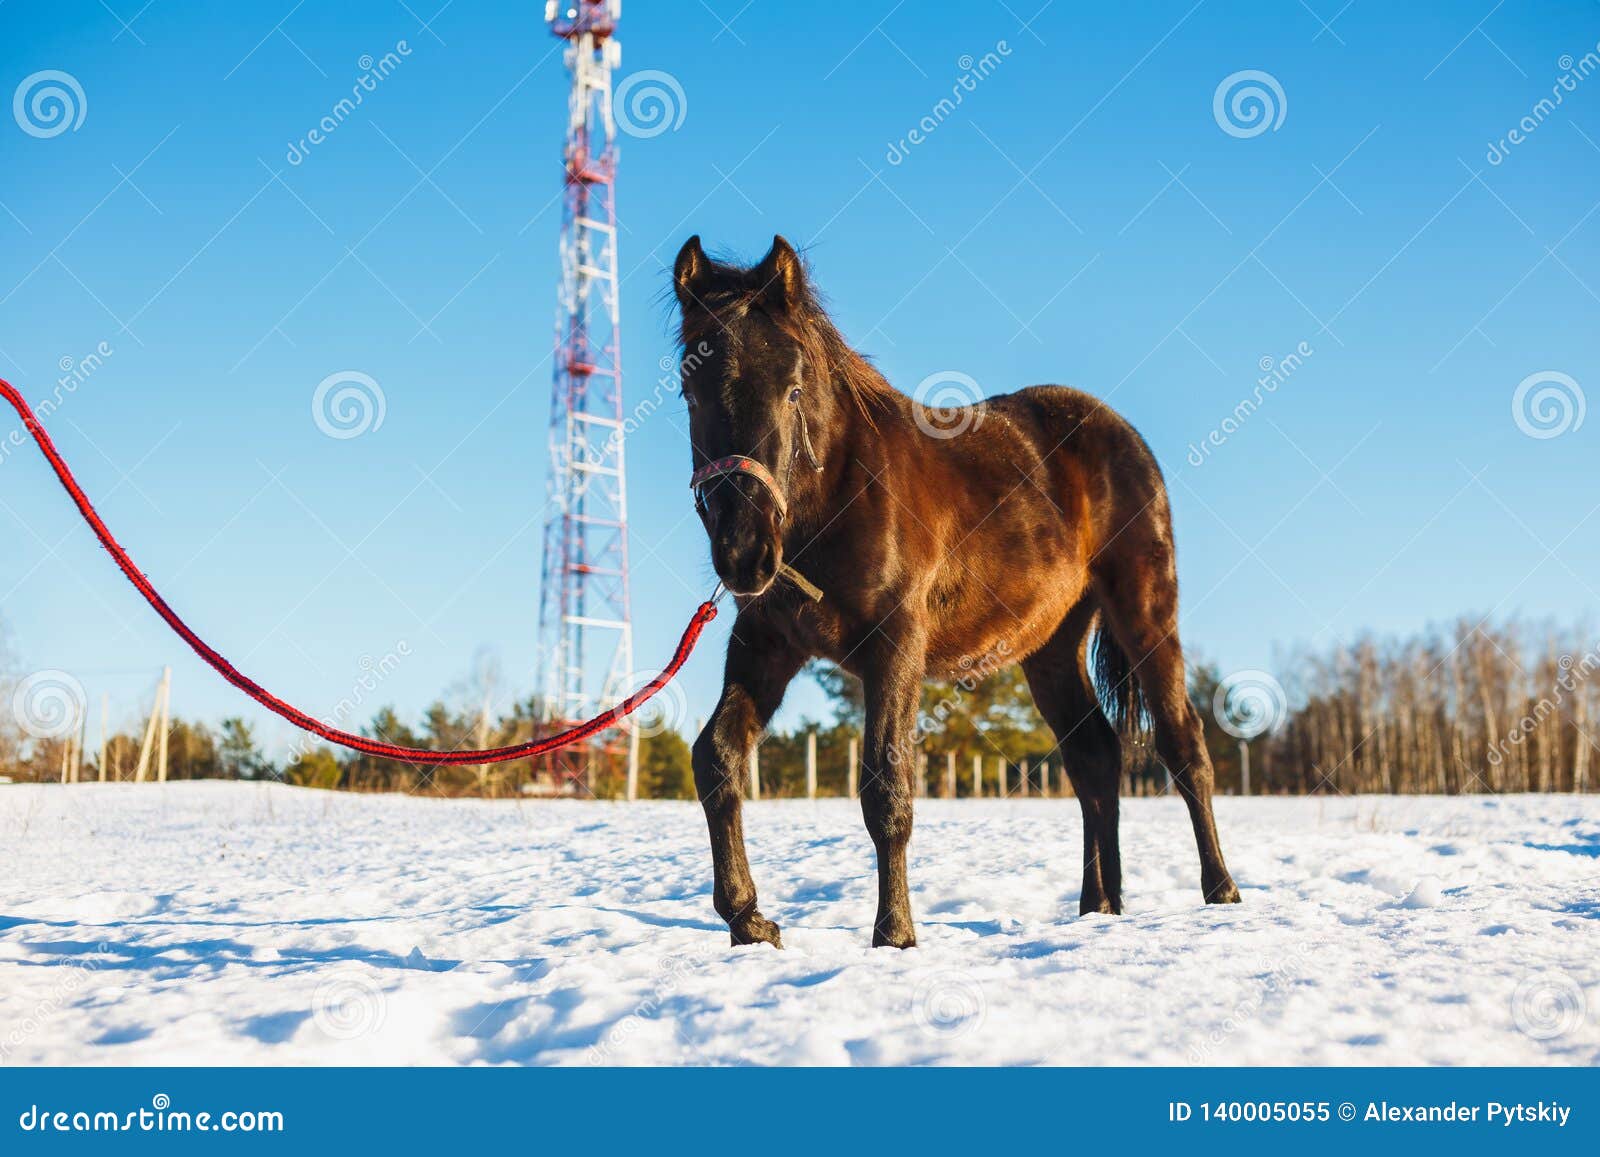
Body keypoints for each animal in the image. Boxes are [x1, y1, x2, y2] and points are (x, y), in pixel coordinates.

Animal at [674, 234, 1241, 949]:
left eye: (794, 389)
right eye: (689, 389)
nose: (745, 554)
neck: (836, 493)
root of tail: (1118, 431)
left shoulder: (896, 642)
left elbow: (886, 784)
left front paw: (894, 933)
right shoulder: (767, 641)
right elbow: (717, 757)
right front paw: (749, 919)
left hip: (1145, 612)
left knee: (1183, 744)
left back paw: (1222, 892)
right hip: (1052, 648)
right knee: (1094, 759)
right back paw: (1099, 907)